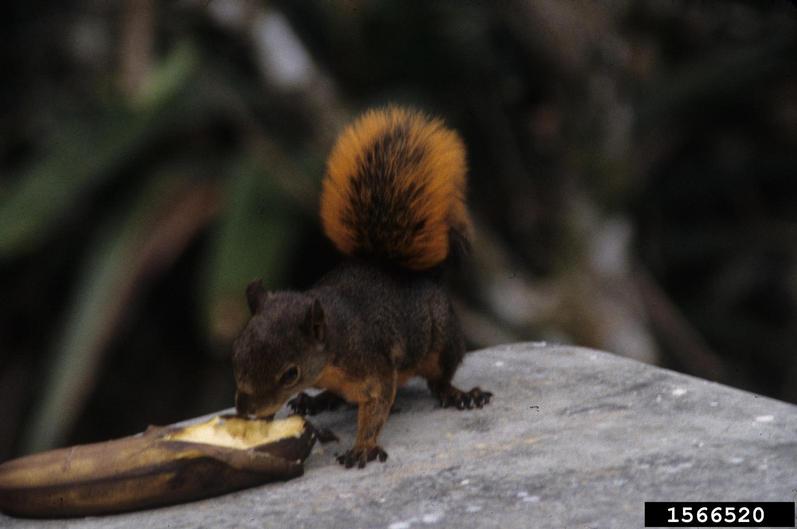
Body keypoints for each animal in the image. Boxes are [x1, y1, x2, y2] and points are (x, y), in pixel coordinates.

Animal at [231, 106, 492, 469]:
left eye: (290, 374)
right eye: (236, 354)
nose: (245, 410)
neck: (332, 350)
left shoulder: (372, 364)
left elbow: (378, 403)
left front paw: (363, 447)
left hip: (442, 338)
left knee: (440, 377)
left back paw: (458, 394)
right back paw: (318, 400)